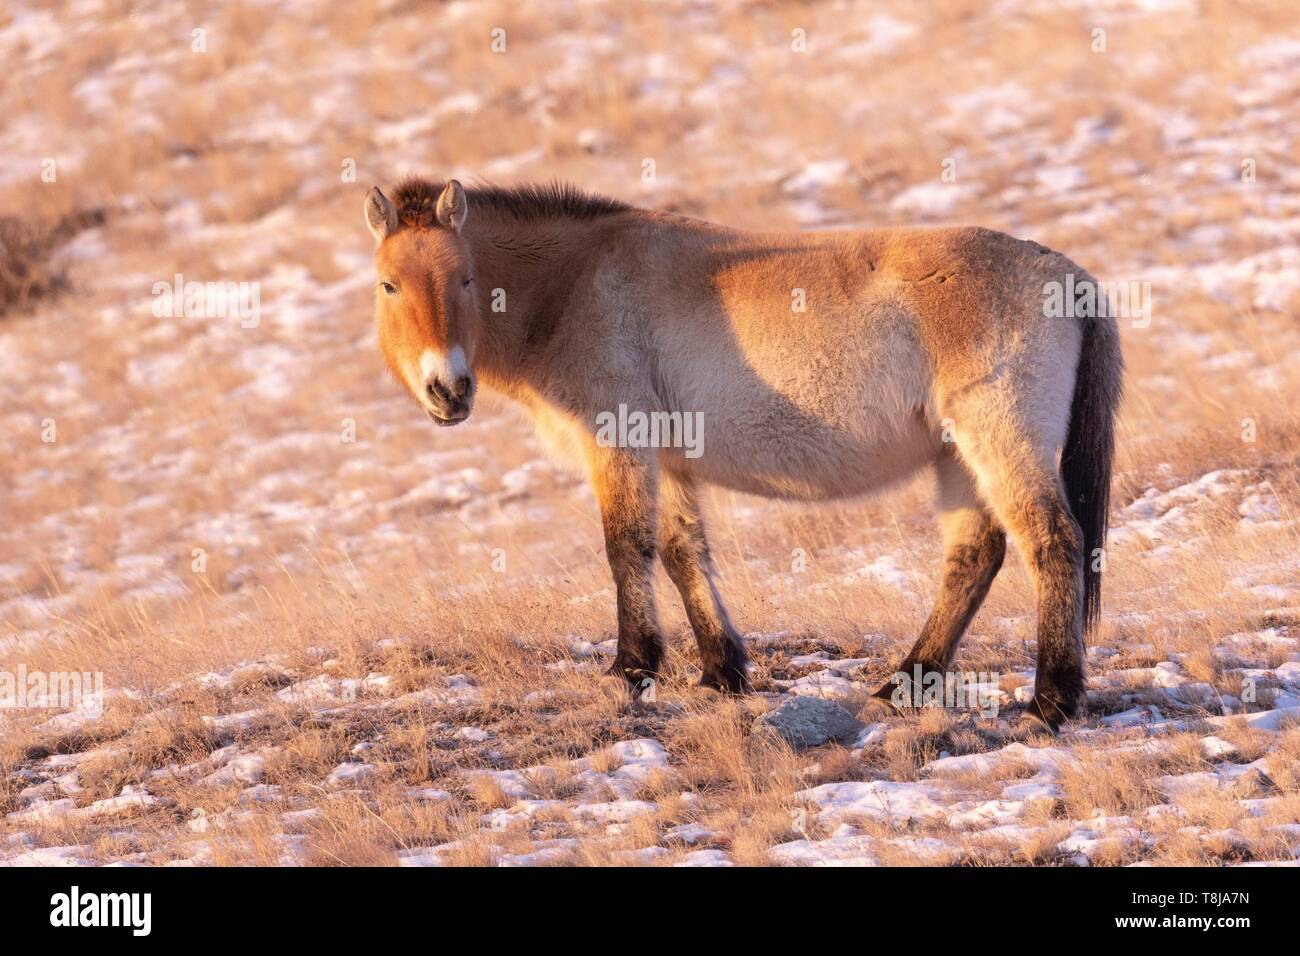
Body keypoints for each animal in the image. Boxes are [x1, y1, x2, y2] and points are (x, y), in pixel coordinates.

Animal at [363, 177, 1122, 732]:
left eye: (465, 279)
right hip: (956, 457)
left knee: (1051, 542)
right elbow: (681, 550)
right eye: (389, 284)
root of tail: (1066, 273)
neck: (574, 284)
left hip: (1000, 442)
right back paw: (902, 684)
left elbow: (626, 546)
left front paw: (631, 670)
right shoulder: (668, 458)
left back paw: (1050, 702)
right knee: (973, 557)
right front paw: (720, 671)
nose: (448, 390)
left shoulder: (619, 443)